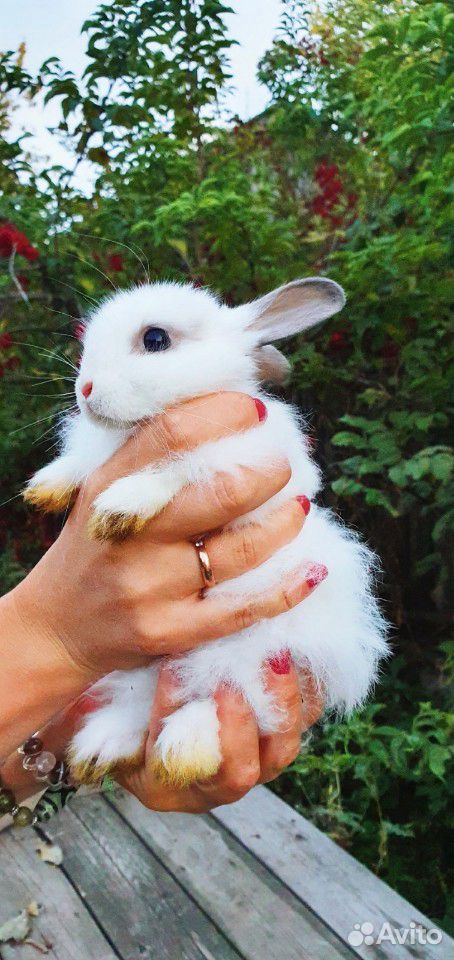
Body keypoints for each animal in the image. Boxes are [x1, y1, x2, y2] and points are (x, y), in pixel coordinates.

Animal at [24, 278, 389, 786]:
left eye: (155, 339)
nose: (85, 390)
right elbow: (86, 460)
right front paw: (48, 487)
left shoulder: (244, 460)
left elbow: (180, 470)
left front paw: (119, 506)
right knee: (144, 701)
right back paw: (104, 749)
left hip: (262, 648)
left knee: (227, 691)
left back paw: (183, 751)